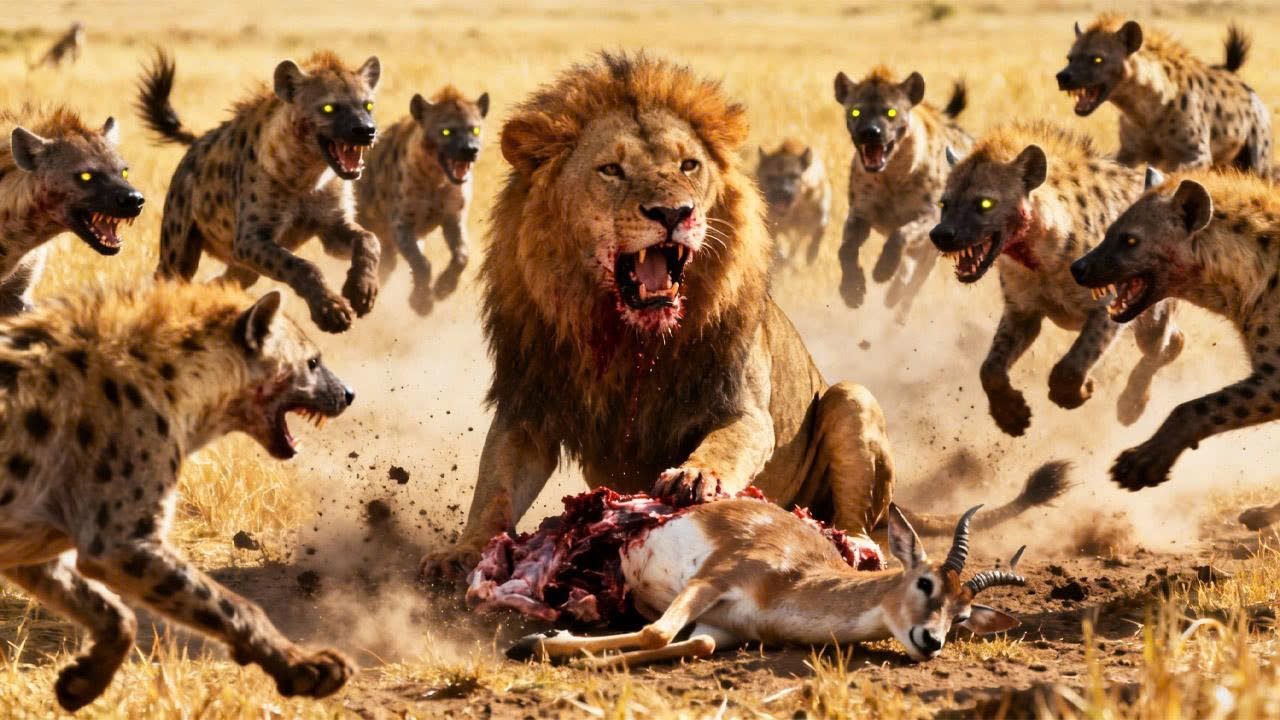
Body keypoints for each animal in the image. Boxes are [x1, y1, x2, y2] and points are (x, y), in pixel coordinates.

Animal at [420, 53, 1068, 578]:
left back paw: (857, 548)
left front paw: (695, 476)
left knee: (861, 517)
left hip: (851, 401)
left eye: (689, 166)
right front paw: (463, 551)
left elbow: (731, 441)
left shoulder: (742, 405)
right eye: (611, 170)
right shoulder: (529, 406)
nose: (674, 213)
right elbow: (495, 487)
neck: (625, 338)